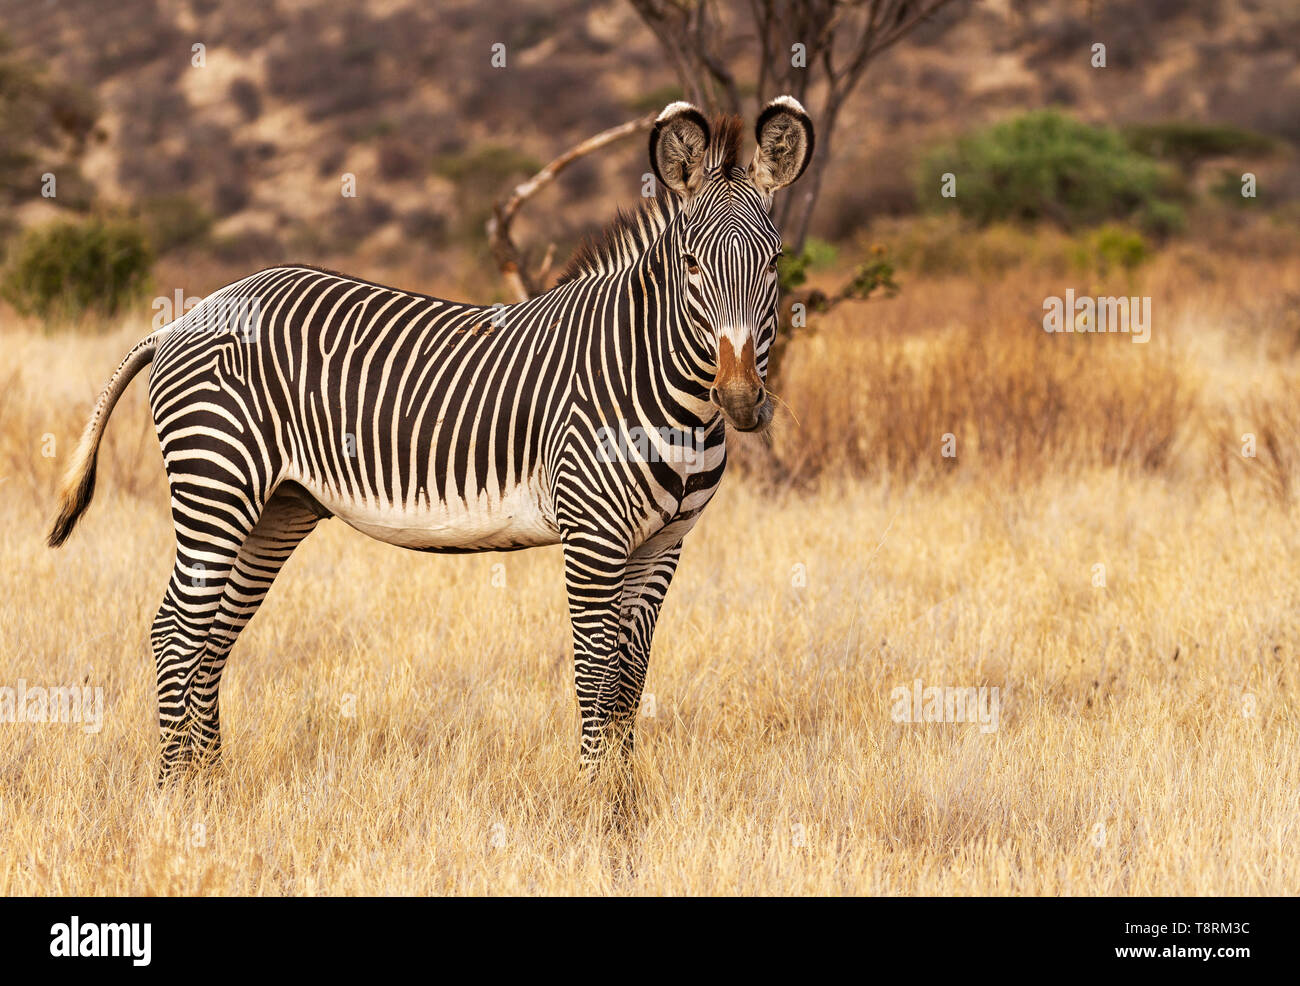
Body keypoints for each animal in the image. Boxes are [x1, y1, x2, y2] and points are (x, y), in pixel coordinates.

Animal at [47, 96, 815, 780]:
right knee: (175, 631)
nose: (741, 400)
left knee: (212, 638)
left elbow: (630, 680)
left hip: (275, 507)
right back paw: (175, 795)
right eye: (692, 265)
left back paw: (213, 789)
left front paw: (627, 805)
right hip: (217, 483)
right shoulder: (593, 536)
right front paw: (596, 806)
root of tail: (186, 316)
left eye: (775, 263)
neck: (661, 386)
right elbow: (596, 678)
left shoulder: (663, 546)